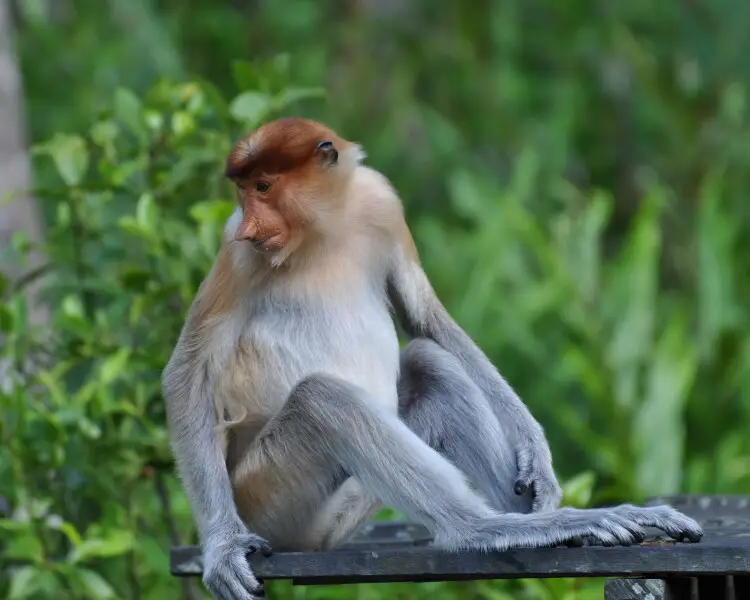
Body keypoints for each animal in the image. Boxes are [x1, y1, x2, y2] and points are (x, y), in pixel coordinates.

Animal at [161, 117, 703, 600]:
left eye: (264, 186)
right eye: (243, 194)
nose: (252, 226)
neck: (324, 227)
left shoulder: (382, 204)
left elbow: (425, 318)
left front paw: (536, 452)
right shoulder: (236, 254)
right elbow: (187, 372)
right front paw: (223, 550)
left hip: (343, 509)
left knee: (428, 362)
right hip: (268, 498)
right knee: (324, 399)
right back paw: (487, 530)